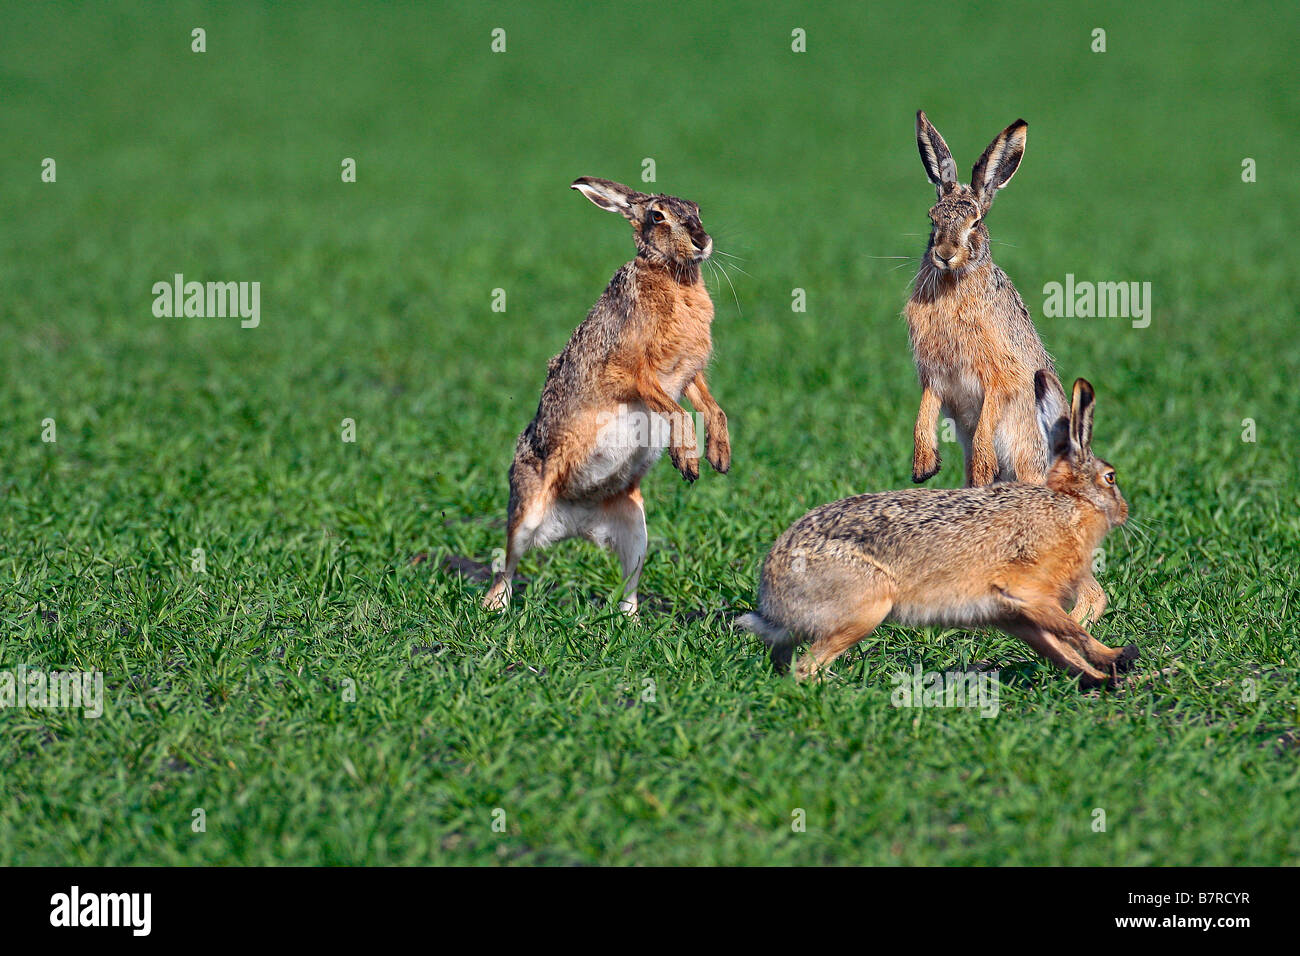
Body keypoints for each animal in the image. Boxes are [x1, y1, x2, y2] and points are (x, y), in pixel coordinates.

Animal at [482, 177, 730, 614]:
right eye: (657, 216)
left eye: (697, 209)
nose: (702, 242)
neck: (669, 274)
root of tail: (574, 522)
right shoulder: (633, 371)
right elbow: (677, 411)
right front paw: (687, 460)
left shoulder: (688, 373)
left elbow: (710, 407)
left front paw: (719, 456)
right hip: (526, 510)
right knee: (507, 566)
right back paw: (492, 609)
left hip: (635, 527)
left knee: (628, 587)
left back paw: (632, 621)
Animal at [740, 376, 1138, 688]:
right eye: (1111, 477)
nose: (1124, 512)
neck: (1070, 505)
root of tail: (772, 601)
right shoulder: (1028, 592)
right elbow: (1074, 632)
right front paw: (1119, 656)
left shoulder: (1017, 615)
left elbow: (1059, 649)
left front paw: (1103, 678)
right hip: (865, 607)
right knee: (808, 668)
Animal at [905, 110, 1107, 623]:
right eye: (932, 219)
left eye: (976, 221)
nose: (944, 254)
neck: (955, 283)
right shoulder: (936, 378)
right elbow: (923, 413)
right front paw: (924, 465)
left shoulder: (998, 377)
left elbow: (987, 420)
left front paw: (980, 466)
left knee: (1093, 592)